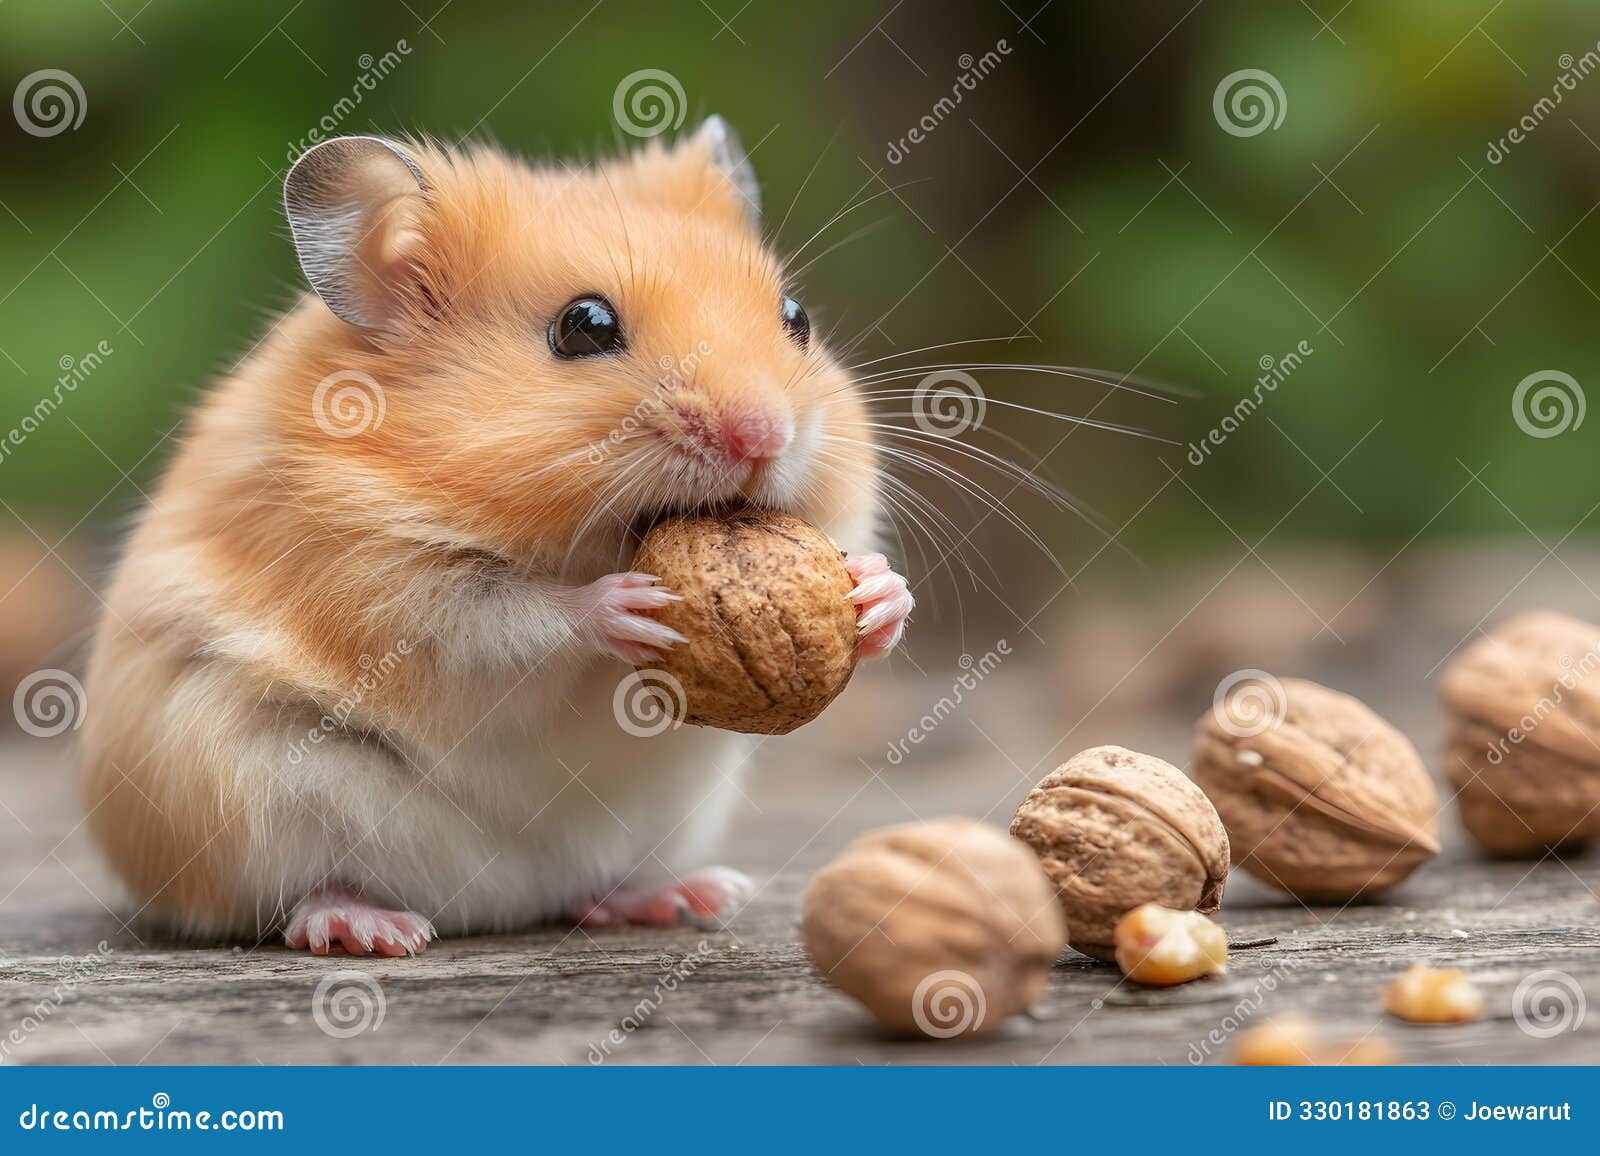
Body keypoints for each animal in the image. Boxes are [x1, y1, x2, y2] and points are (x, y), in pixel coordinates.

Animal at [77, 118, 913, 956]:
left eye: (796, 317)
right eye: (583, 327)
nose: (765, 435)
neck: (590, 542)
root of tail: (491, 904)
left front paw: (876, 593)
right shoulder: (390, 590)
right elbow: (511, 623)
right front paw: (628, 606)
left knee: (591, 890)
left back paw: (685, 896)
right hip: (246, 785)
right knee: (296, 897)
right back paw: (373, 928)